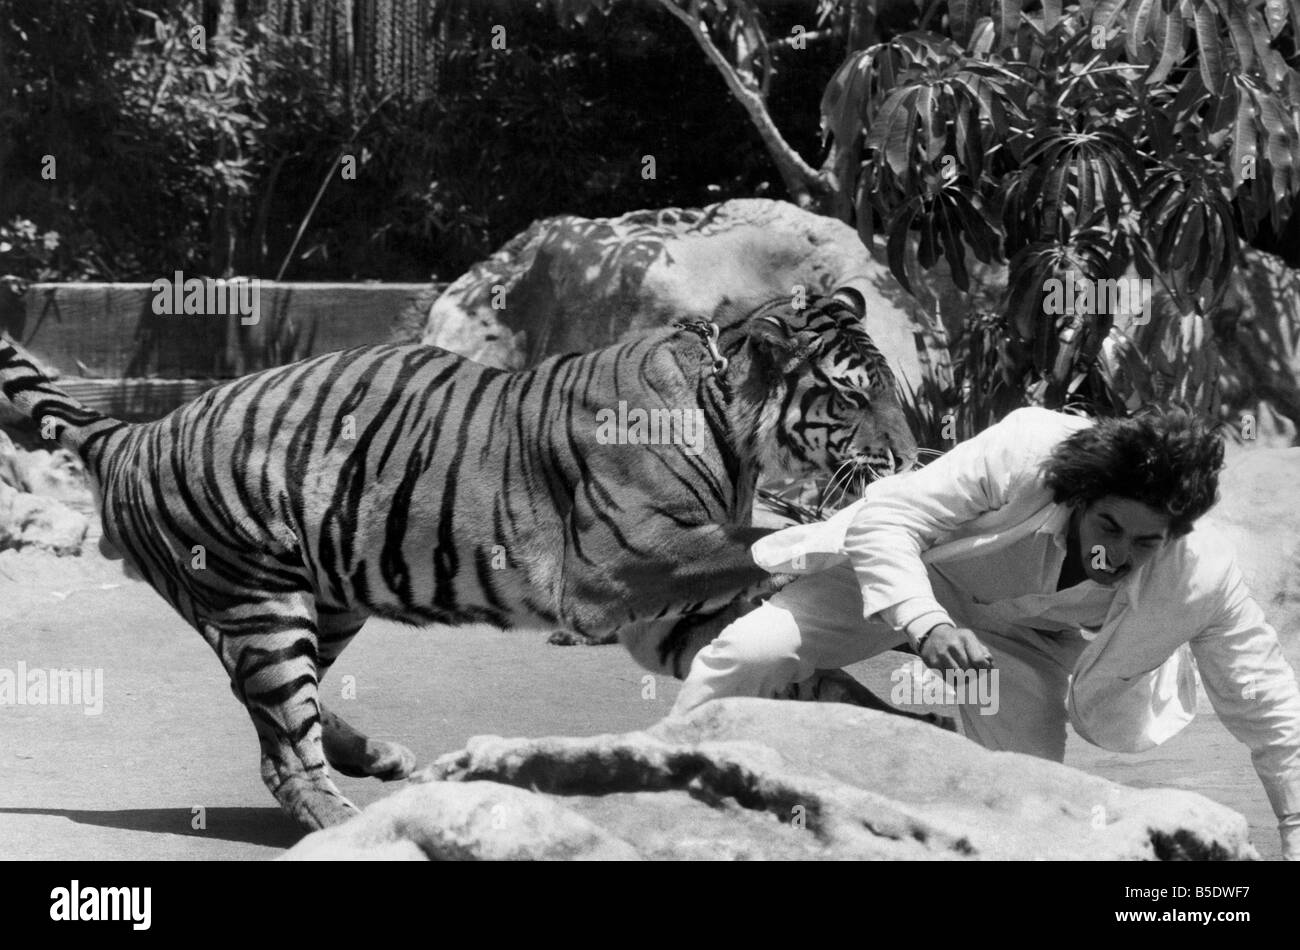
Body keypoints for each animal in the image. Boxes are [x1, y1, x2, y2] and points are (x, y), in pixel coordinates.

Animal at [0, 290, 917, 830]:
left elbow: (819, 678)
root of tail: (136, 431)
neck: (731, 424)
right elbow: (758, 546)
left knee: (291, 706)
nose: (913, 457)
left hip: (331, 593)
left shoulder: (672, 618)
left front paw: (904, 728)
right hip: (259, 601)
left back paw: (375, 756)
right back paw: (346, 821)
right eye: (849, 394)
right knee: (282, 744)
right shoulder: (619, 571)